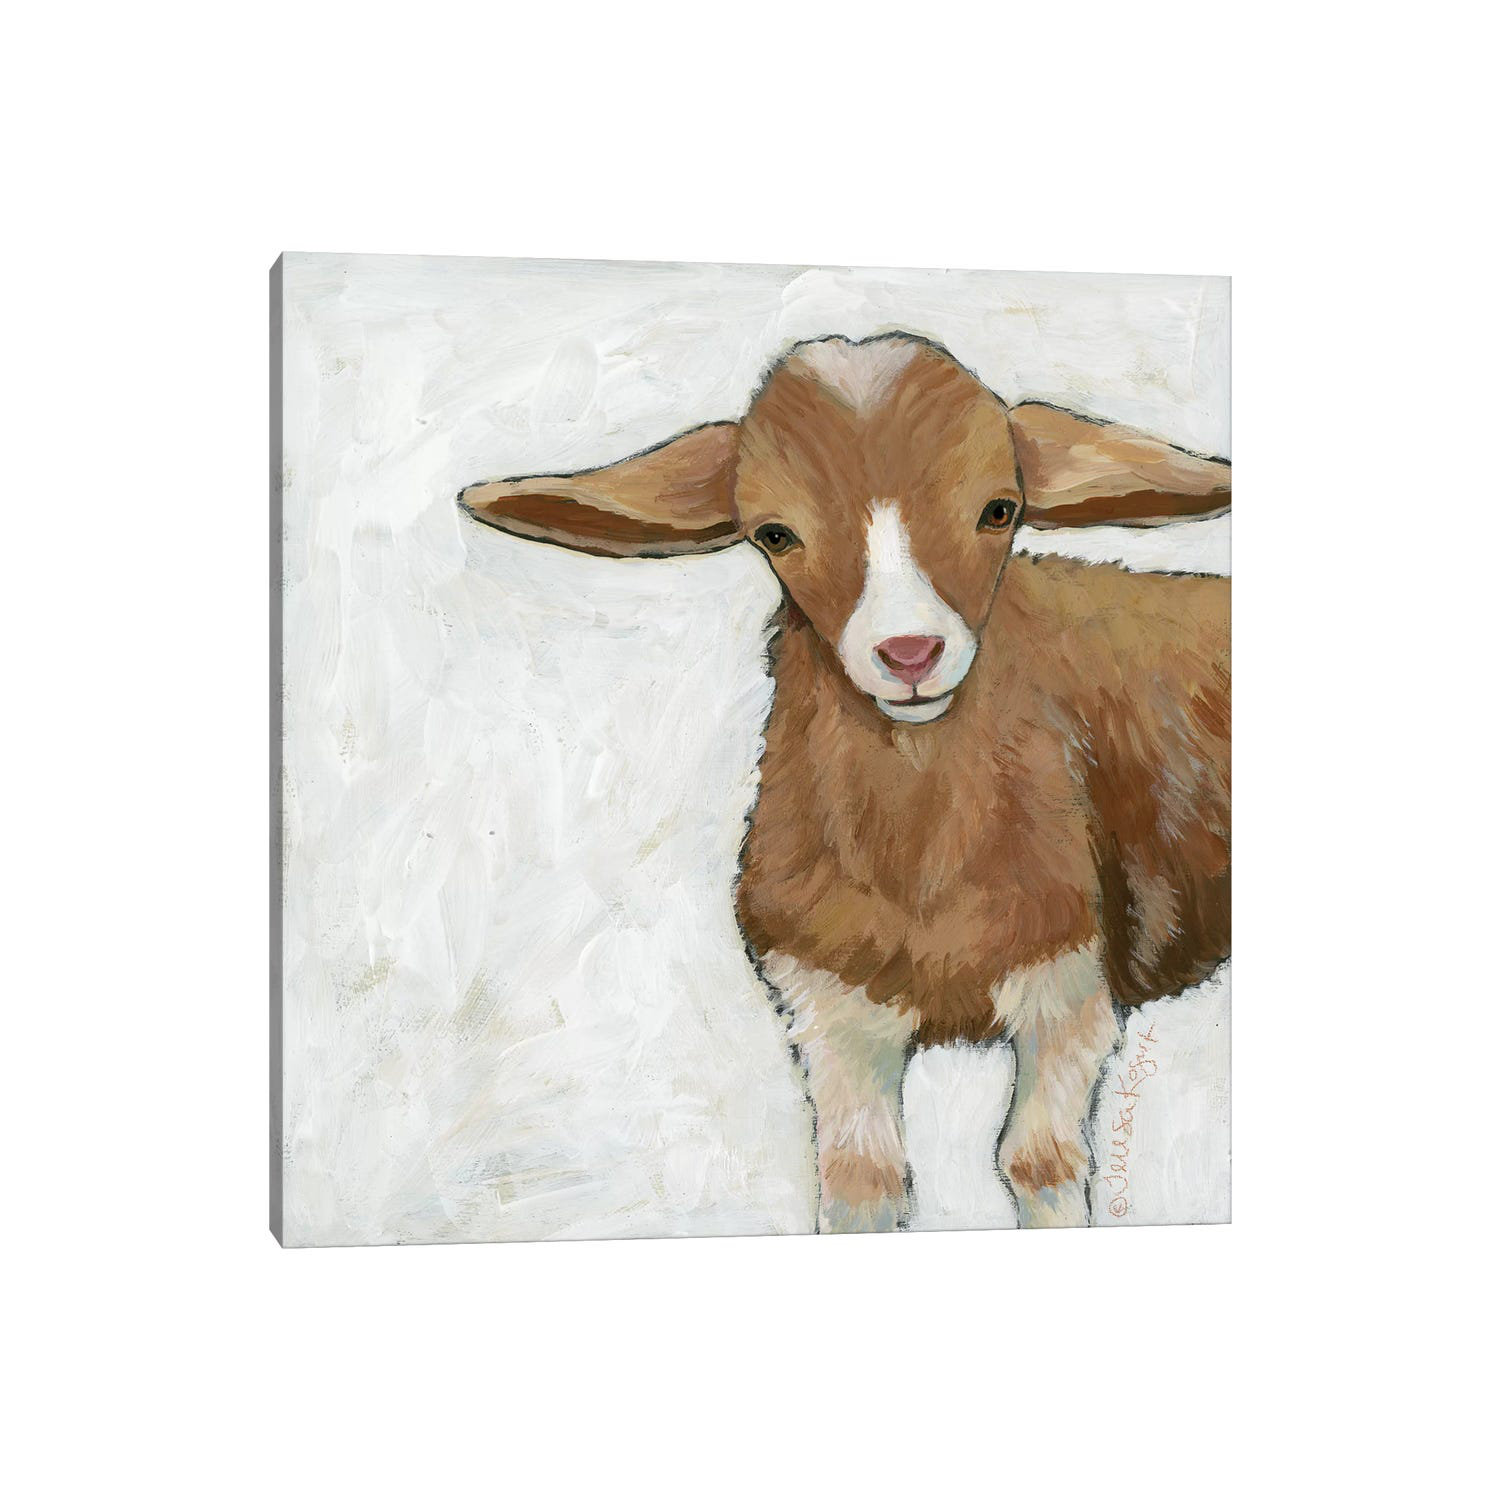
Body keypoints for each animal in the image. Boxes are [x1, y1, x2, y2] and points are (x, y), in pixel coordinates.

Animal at [459, 333, 1230, 1232]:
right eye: (774, 532)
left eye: (1000, 510)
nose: (910, 654)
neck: (918, 867)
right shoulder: (830, 1008)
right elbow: (863, 1178)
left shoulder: (1070, 989)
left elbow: (1037, 1162)